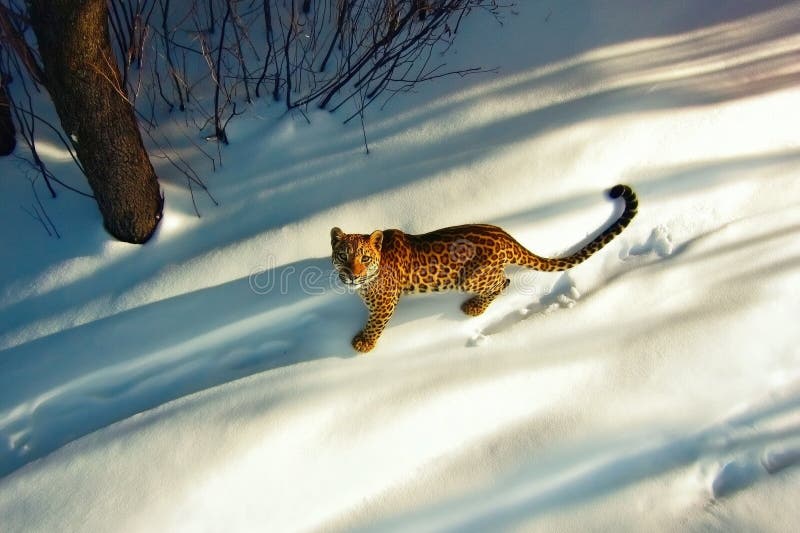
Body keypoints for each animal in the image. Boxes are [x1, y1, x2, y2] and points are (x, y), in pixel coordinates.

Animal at [331, 184, 638, 353]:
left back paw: (475, 307)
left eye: (364, 259)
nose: (352, 275)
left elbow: (375, 323)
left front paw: (364, 343)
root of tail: (506, 237)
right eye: (343, 256)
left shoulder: (385, 303)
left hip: (470, 277)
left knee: (503, 283)